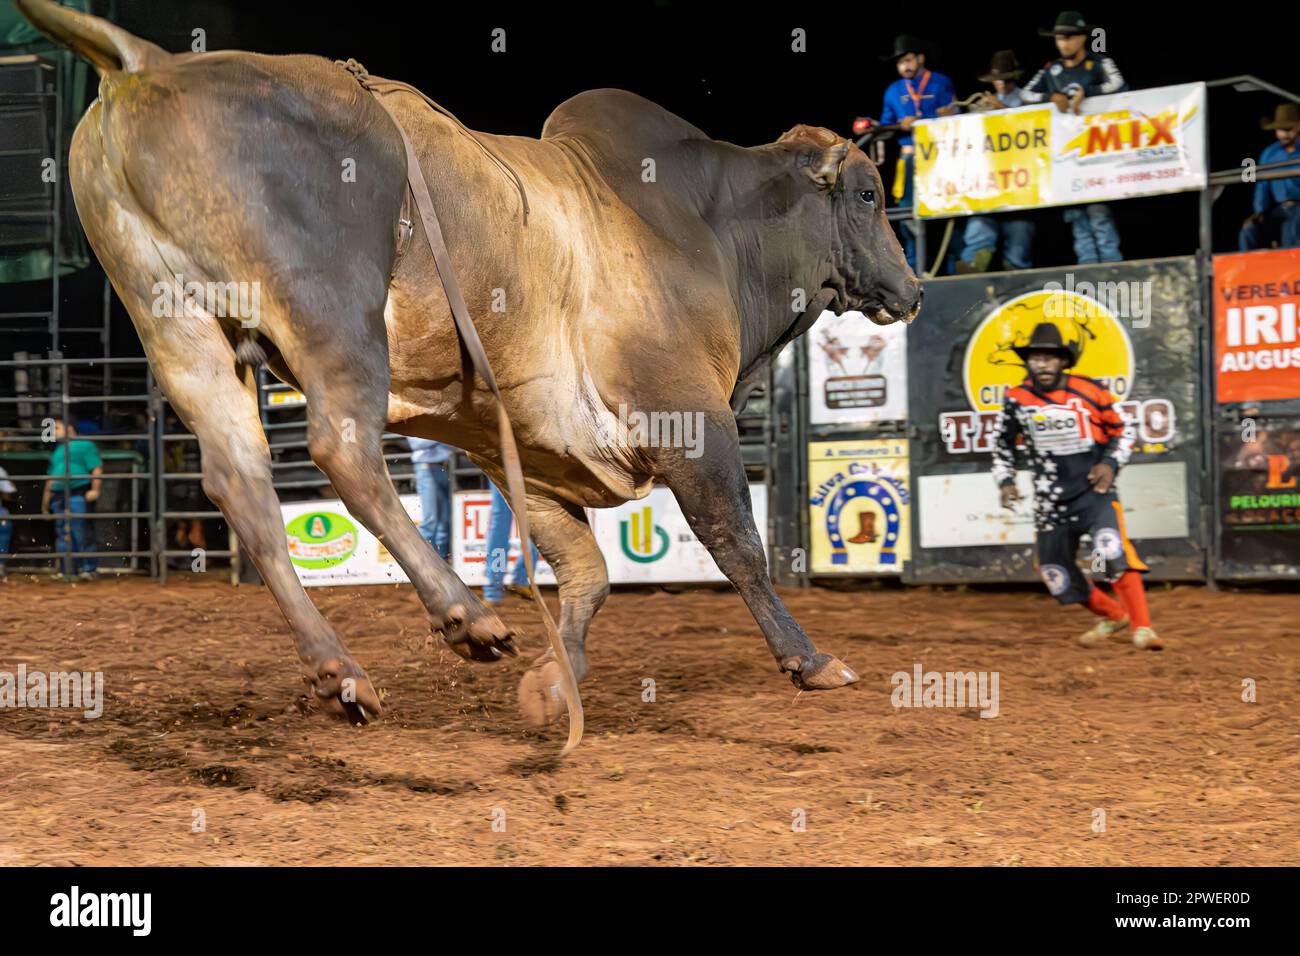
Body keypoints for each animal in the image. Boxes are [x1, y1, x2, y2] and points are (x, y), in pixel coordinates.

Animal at [16, 0, 922, 741]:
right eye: (870, 194)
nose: (912, 289)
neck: (707, 228)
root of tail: (148, 63)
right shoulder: (690, 416)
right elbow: (735, 539)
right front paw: (810, 660)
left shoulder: (534, 455)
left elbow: (586, 575)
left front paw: (555, 687)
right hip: (333, 316)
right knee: (343, 452)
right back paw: (463, 616)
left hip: (180, 331)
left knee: (241, 482)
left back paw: (341, 673)